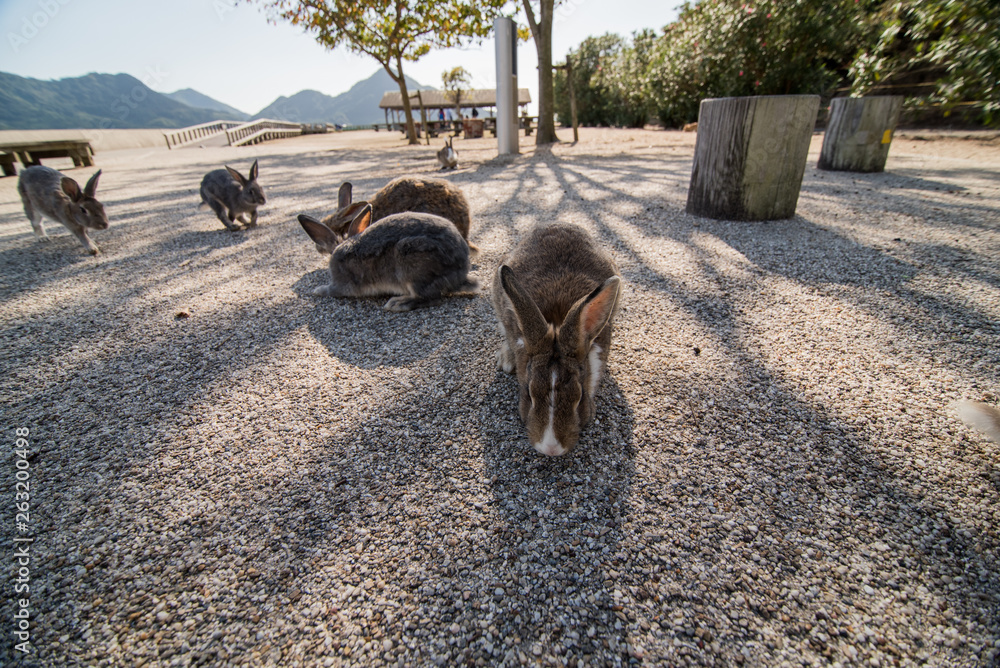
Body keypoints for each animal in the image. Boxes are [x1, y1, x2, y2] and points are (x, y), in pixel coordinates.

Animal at [298, 203, 479, 312]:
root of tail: (459, 276)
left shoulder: (341, 285)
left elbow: (332, 290)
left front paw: (318, 290)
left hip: (412, 265)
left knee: (431, 298)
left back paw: (398, 303)